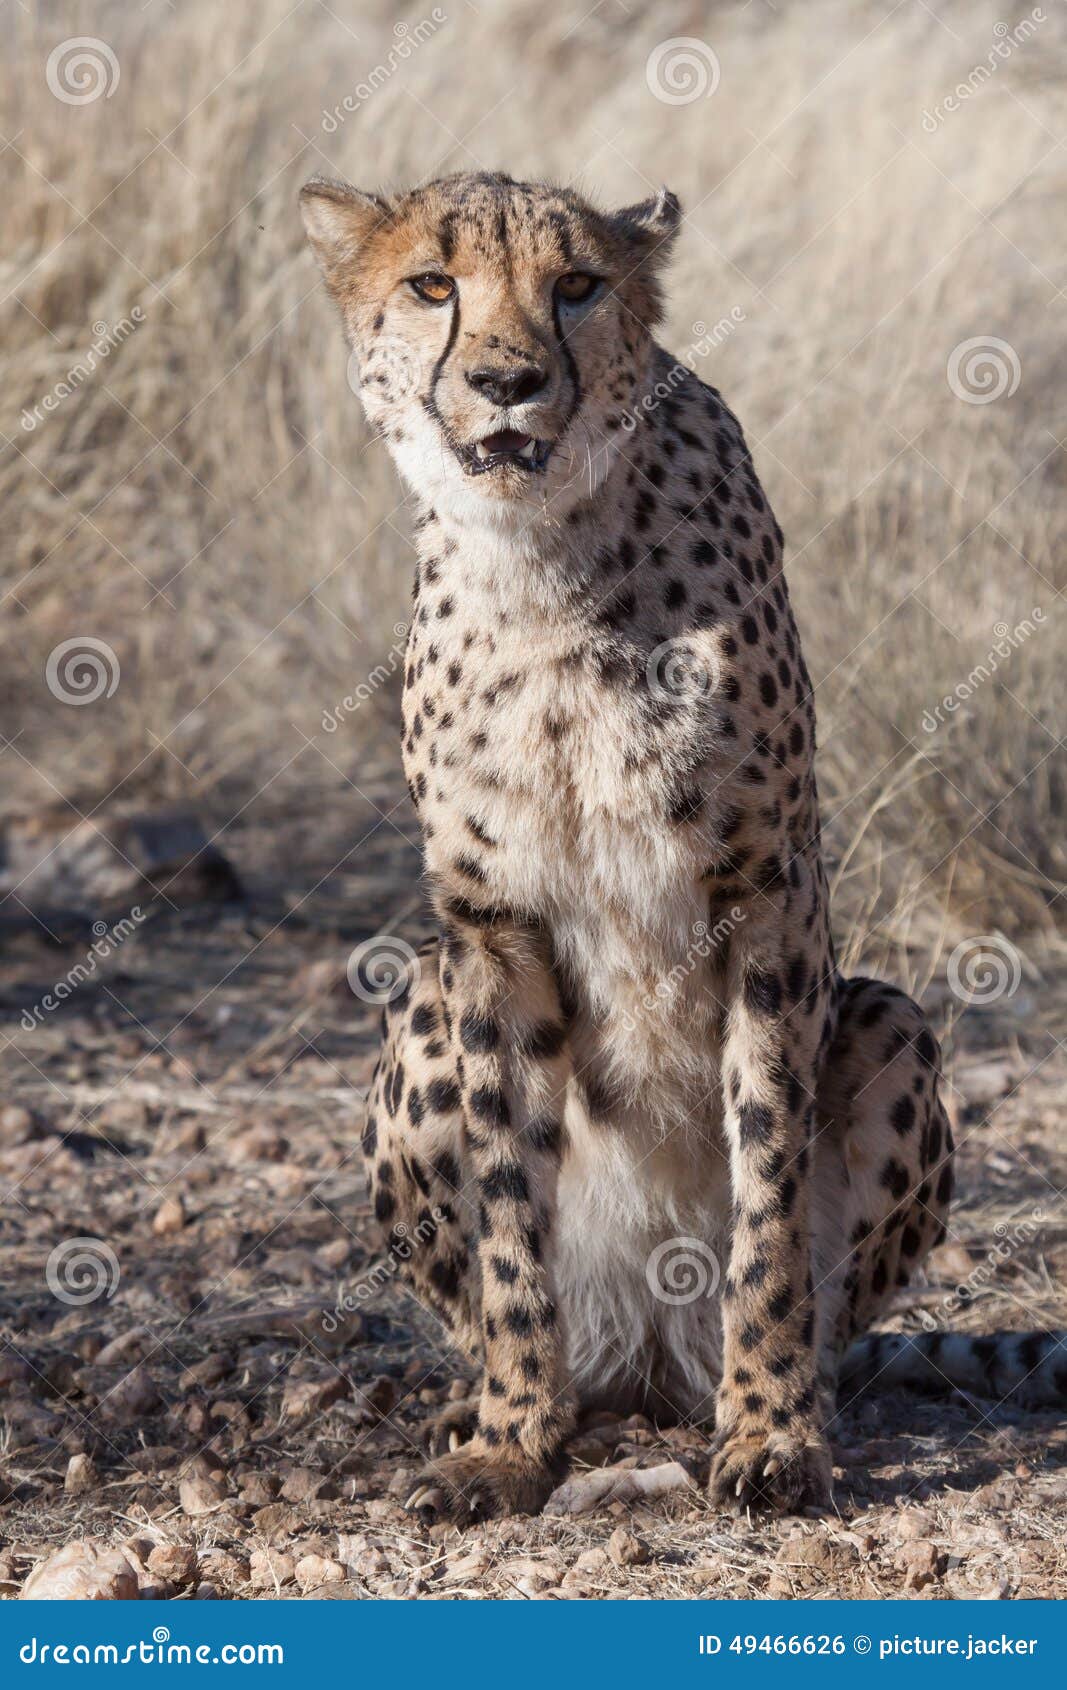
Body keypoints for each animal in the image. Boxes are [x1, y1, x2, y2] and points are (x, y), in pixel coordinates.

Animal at [300, 169, 1065, 1524]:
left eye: (576, 285)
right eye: (432, 284)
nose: (506, 379)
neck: (544, 560)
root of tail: (647, 1363)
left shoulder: (766, 890)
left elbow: (766, 1196)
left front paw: (768, 1433)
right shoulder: (488, 928)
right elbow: (509, 1223)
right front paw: (509, 1440)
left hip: (889, 1020)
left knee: (816, 1300)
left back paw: (775, 1390)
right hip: (422, 1002)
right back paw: (505, 1401)